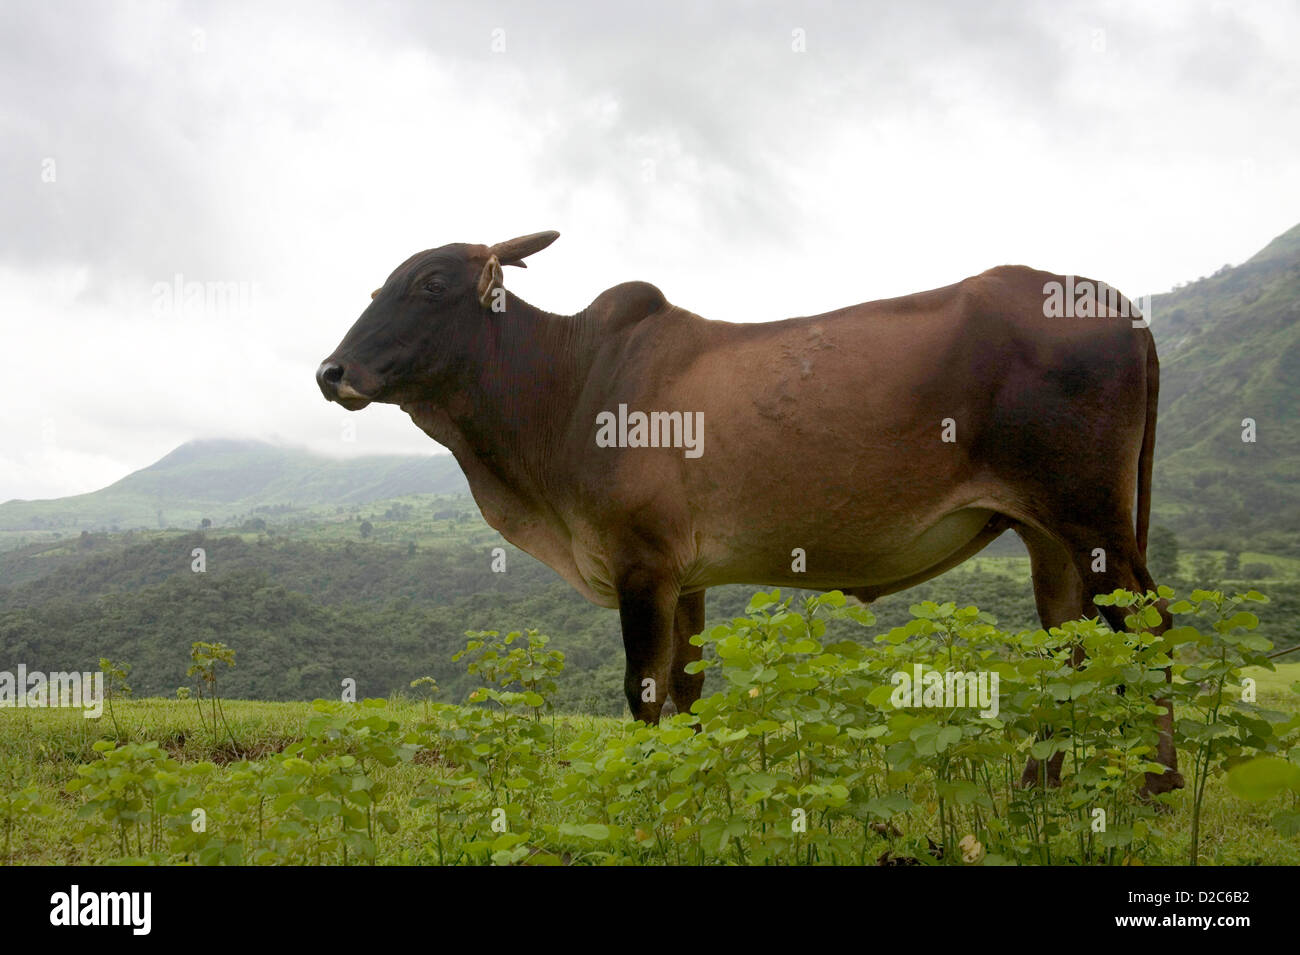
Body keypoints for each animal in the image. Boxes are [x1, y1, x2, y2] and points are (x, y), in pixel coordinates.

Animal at [316, 231, 1184, 795]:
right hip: (1048, 534)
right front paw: (701, 778)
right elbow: (688, 683)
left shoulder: (641, 563)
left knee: (1150, 624)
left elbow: (643, 686)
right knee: (1072, 642)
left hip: (1091, 518)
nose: (332, 371)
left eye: (430, 285)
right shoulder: (685, 573)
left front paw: (650, 790)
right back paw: (1040, 779)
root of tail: (1122, 309)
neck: (567, 386)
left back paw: (1157, 783)